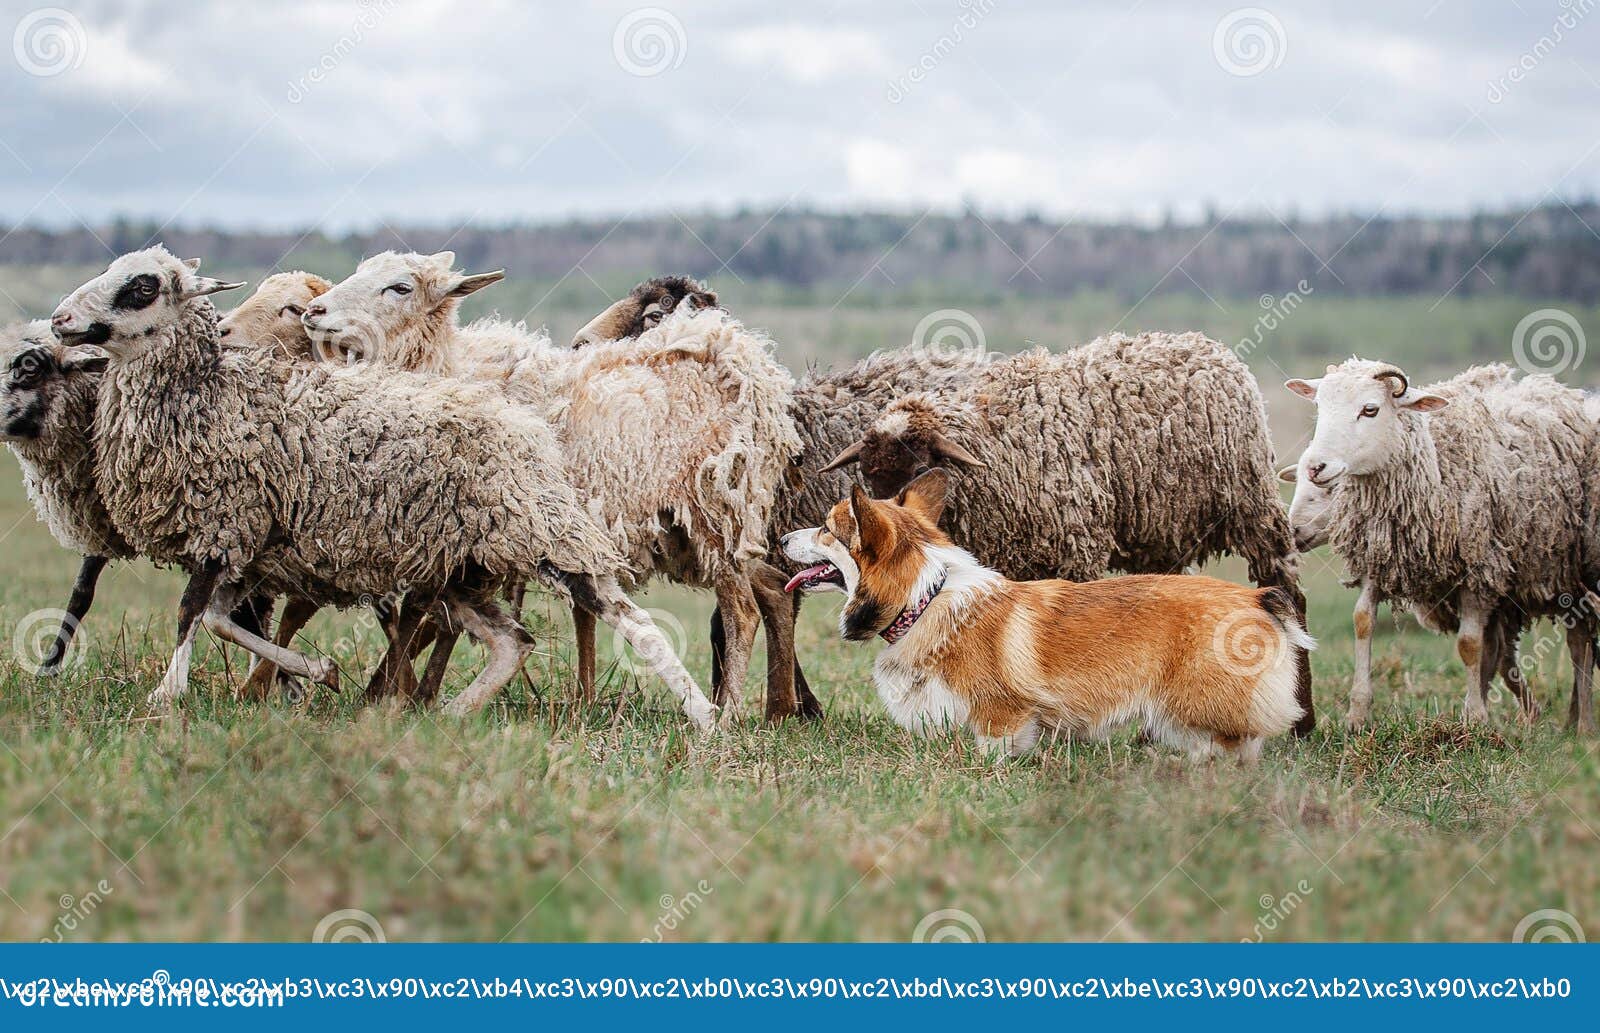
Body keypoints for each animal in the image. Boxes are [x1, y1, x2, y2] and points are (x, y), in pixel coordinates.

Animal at [50, 247, 717, 729]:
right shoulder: (246, 542)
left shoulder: (226, 521)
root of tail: (523, 425)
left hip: (538, 531)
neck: (205, 394)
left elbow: (193, 613)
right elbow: (220, 618)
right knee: (514, 639)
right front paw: (317, 672)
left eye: (142, 287)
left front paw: (166, 698)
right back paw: (446, 713)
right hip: (463, 562)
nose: (60, 321)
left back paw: (706, 715)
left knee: (625, 617)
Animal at [304, 254, 801, 721]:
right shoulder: (465, 535)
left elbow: (424, 613)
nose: (314, 311)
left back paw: (731, 712)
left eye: (400, 287)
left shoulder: (470, 524)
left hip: (716, 512)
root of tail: (740, 353)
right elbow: (437, 615)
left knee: (742, 613)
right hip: (707, 530)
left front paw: (390, 694)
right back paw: (778, 708)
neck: (452, 368)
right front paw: (409, 693)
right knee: (775, 589)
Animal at [818, 331, 1316, 735]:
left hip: (1252, 506)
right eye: (868, 474)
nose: (881, 525)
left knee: (1289, 591)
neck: (997, 443)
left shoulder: (1077, 546)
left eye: (918, 467)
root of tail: (1205, 343)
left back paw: (1302, 722)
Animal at [1287, 359, 1596, 732]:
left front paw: (1475, 718)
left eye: (1370, 409)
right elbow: (1362, 621)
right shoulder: (1380, 555)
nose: (1317, 467)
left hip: (1569, 574)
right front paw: (1357, 715)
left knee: (1579, 641)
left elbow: (1470, 644)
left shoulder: (1481, 568)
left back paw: (1581, 725)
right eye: (1319, 406)